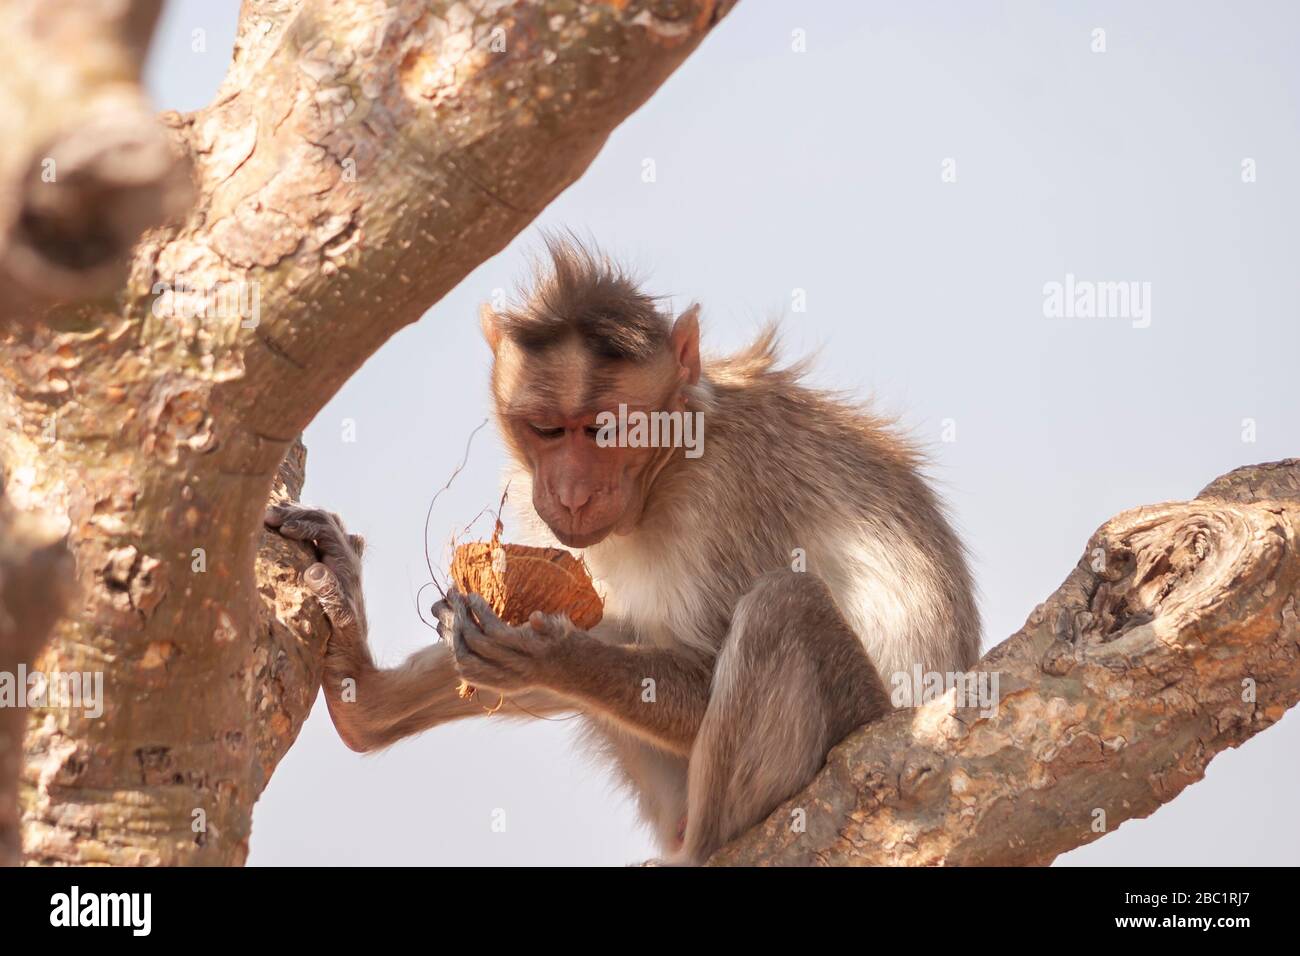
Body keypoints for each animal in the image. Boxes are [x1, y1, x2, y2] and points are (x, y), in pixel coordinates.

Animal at [268, 236, 981, 864]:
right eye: (547, 429)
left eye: (607, 430)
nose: (572, 493)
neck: (668, 468)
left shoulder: (729, 493)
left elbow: (699, 668)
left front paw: (552, 658)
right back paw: (367, 707)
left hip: (851, 727)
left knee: (783, 606)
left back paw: (703, 852)